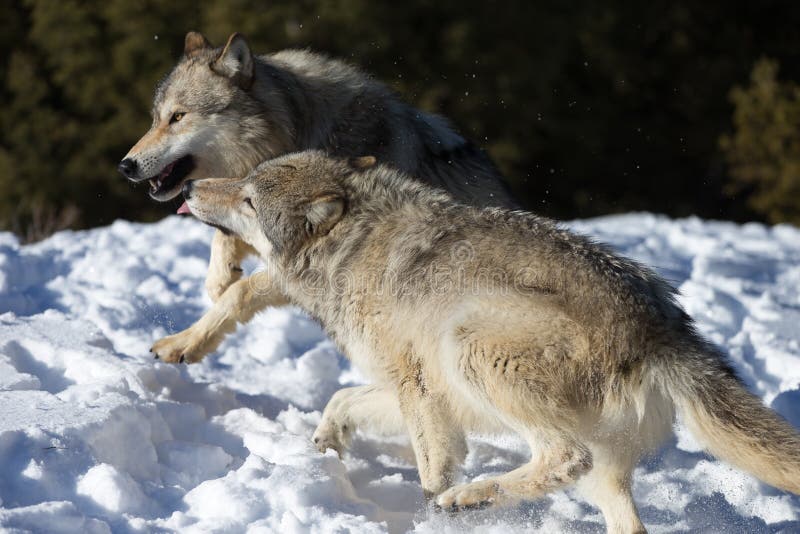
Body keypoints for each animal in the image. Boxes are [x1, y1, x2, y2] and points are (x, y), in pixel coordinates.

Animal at [119, 31, 514, 363]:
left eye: (178, 117)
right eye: (155, 119)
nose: (125, 165)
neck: (297, 132)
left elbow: (239, 292)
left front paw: (183, 343)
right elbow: (223, 240)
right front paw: (220, 276)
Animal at [179, 150, 800, 534]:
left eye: (249, 200)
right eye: (243, 183)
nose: (187, 185)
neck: (349, 248)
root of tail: (662, 322)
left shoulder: (418, 386)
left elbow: (431, 472)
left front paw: (433, 511)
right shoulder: (413, 388)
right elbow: (341, 399)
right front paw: (328, 443)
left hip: (469, 341)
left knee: (563, 458)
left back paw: (471, 498)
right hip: (593, 460)